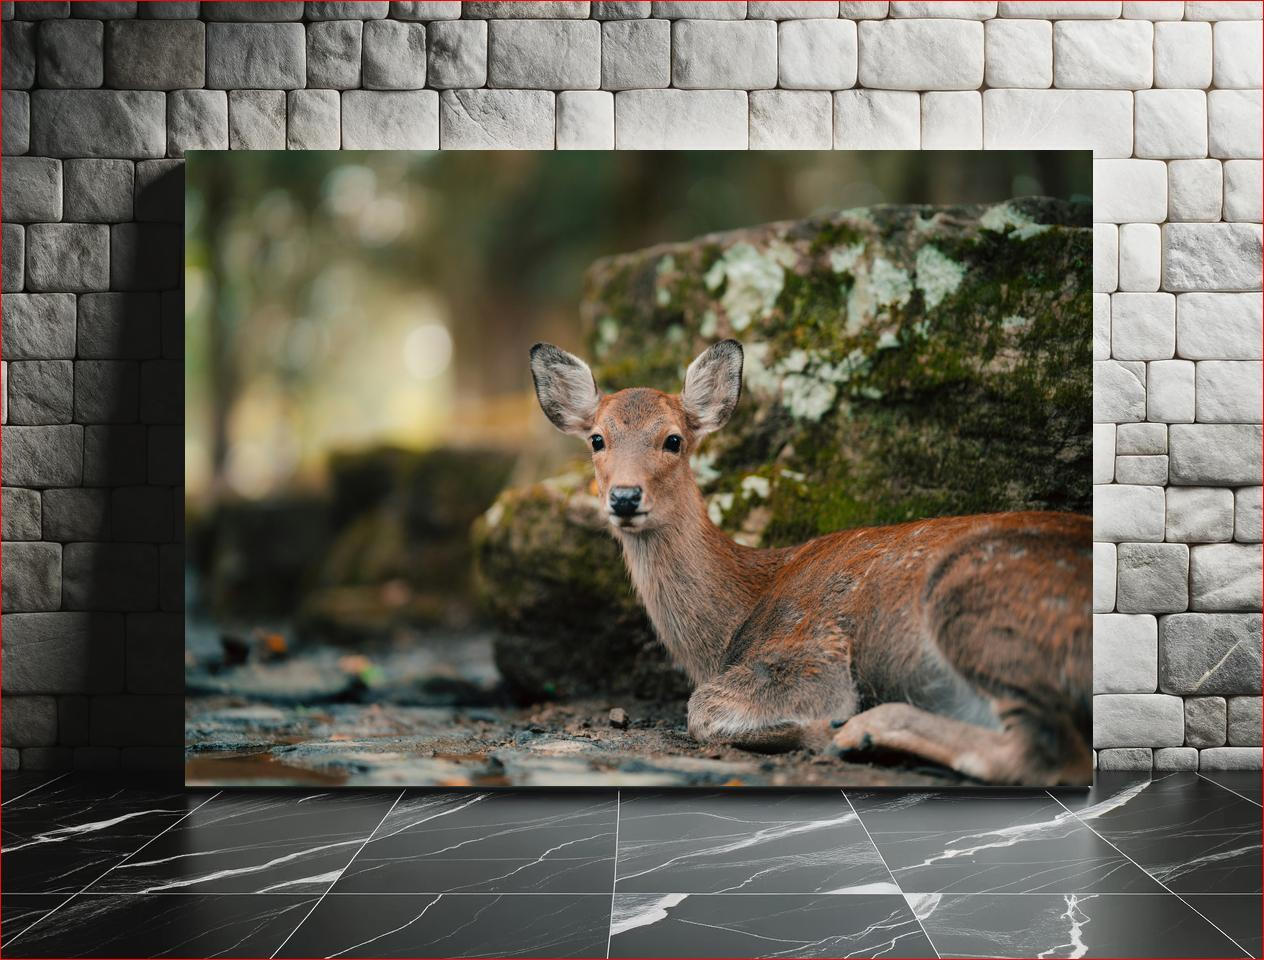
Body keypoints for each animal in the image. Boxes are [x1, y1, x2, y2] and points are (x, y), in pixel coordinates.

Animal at [529, 339, 1093, 786]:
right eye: (597, 439)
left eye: (673, 439)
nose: (625, 497)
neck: (736, 619)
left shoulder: (813, 652)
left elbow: (701, 709)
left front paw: (827, 726)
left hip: (974, 597)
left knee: (1046, 751)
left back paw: (860, 733)